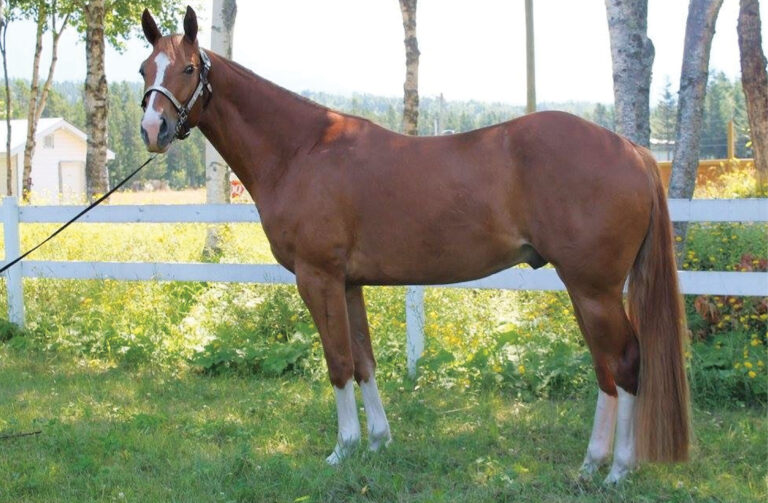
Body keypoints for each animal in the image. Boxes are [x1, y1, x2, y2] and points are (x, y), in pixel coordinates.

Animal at [139, 7, 689, 484]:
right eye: (145, 68)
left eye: (189, 67)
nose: (152, 129)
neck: (302, 150)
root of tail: (633, 152)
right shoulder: (349, 284)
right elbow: (364, 361)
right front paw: (377, 442)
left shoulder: (317, 278)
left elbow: (338, 363)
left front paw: (343, 449)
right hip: (585, 289)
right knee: (605, 368)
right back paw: (592, 465)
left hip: (593, 289)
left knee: (625, 363)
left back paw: (617, 471)